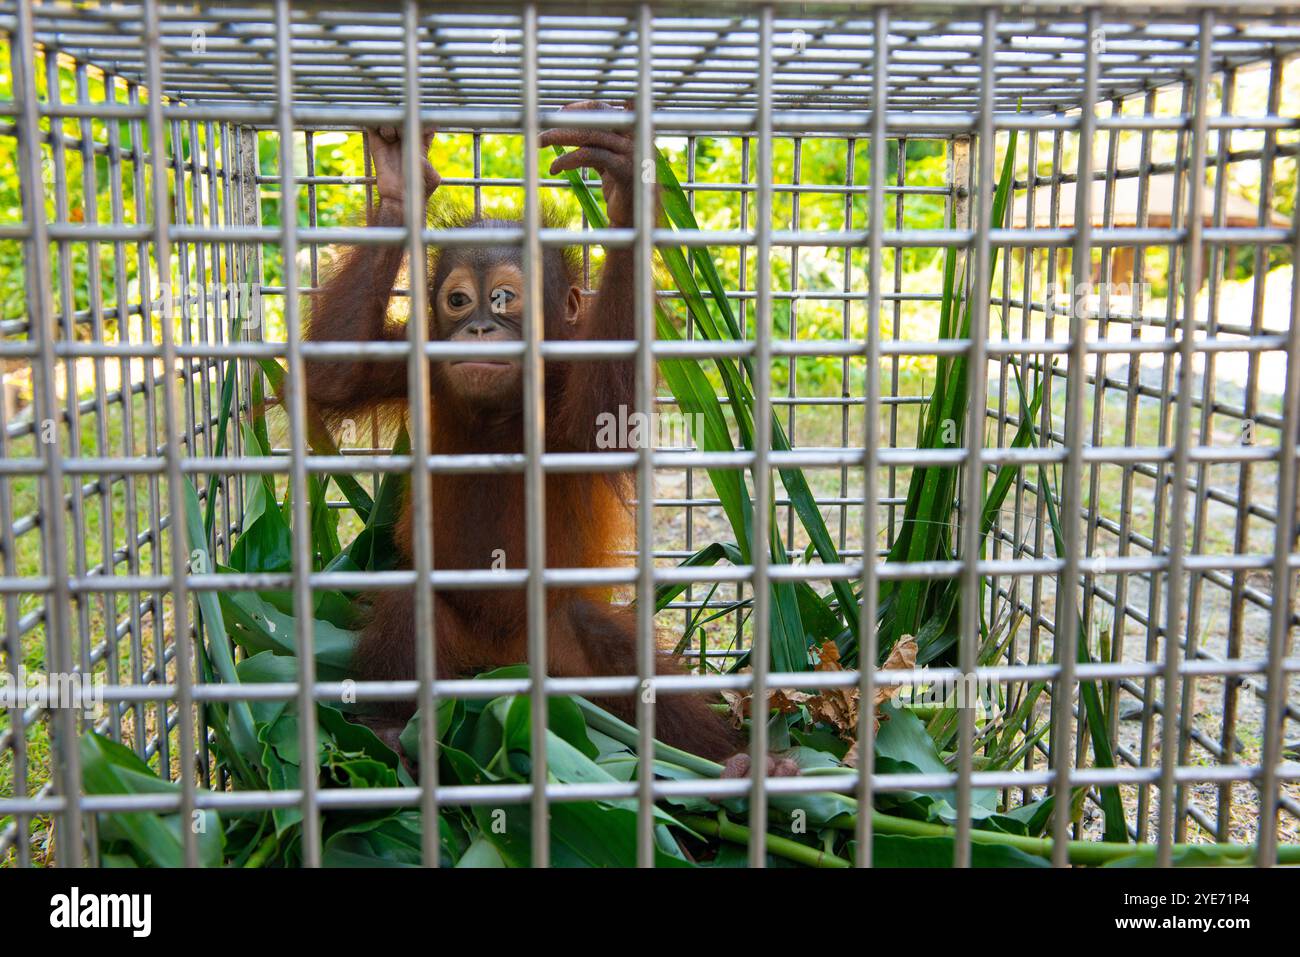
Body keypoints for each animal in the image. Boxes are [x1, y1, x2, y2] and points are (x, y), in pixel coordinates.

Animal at [301, 103, 796, 778]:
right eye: (459, 300)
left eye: (505, 298)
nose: (480, 326)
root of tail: (504, 666)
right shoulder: (411, 363)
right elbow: (335, 373)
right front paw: (402, 181)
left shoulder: (571, 375)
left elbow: (608, 420)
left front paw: (627, 187)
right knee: (410, 610)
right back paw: (389, 735)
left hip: (564, 646)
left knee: (618, 656)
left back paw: (739, 765)